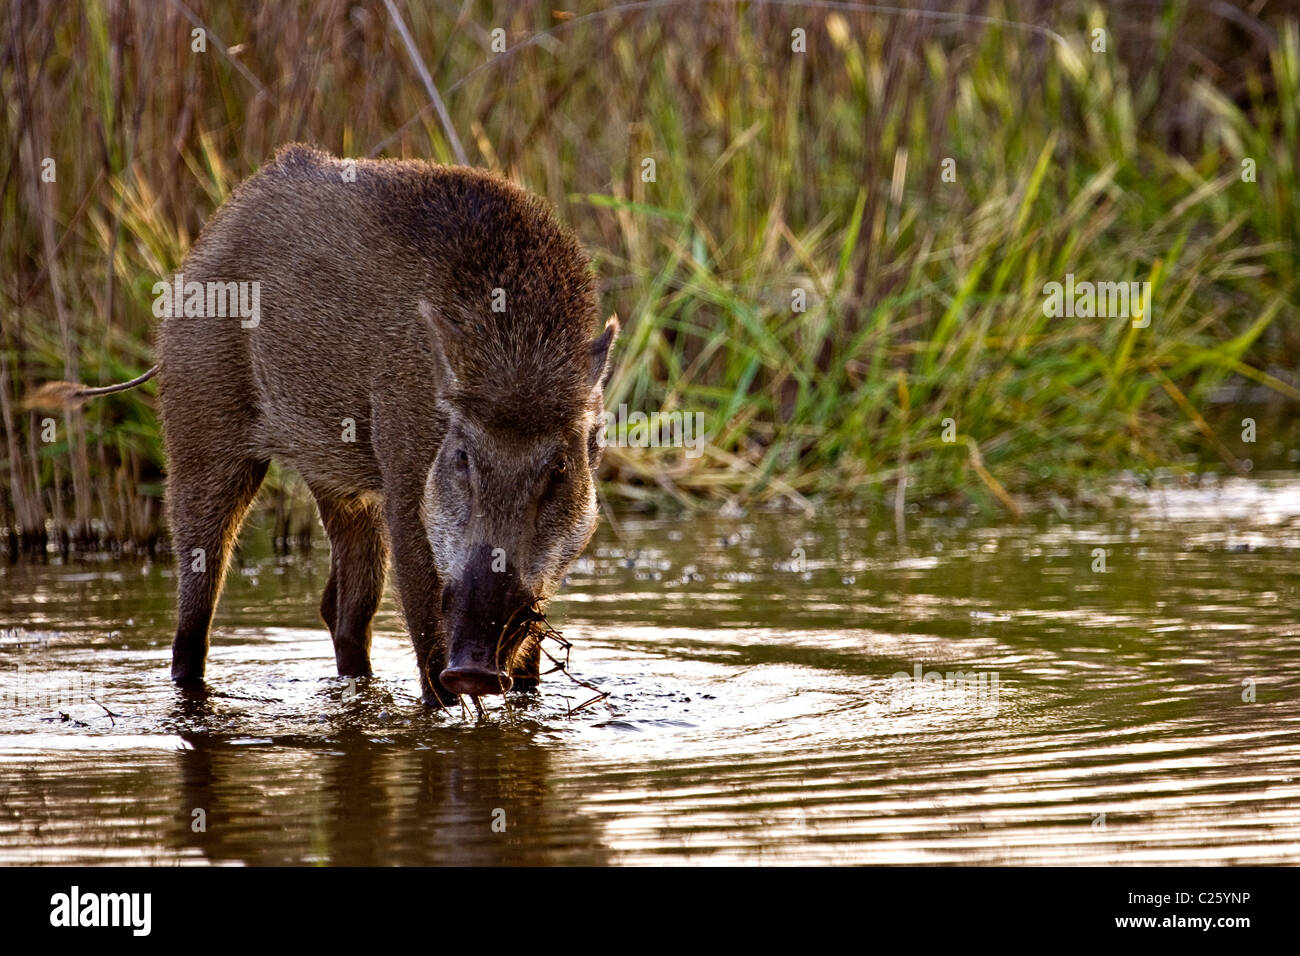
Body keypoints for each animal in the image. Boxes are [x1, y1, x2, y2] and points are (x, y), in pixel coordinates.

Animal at [29, 144, 617, 705]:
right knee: (194, 619)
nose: (474, 669)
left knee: (342, 607)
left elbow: (529, 668)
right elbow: (428, 644)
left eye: (560, 467)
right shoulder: (404, 474)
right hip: (201, 435)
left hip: (334, 477)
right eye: (462, 456)